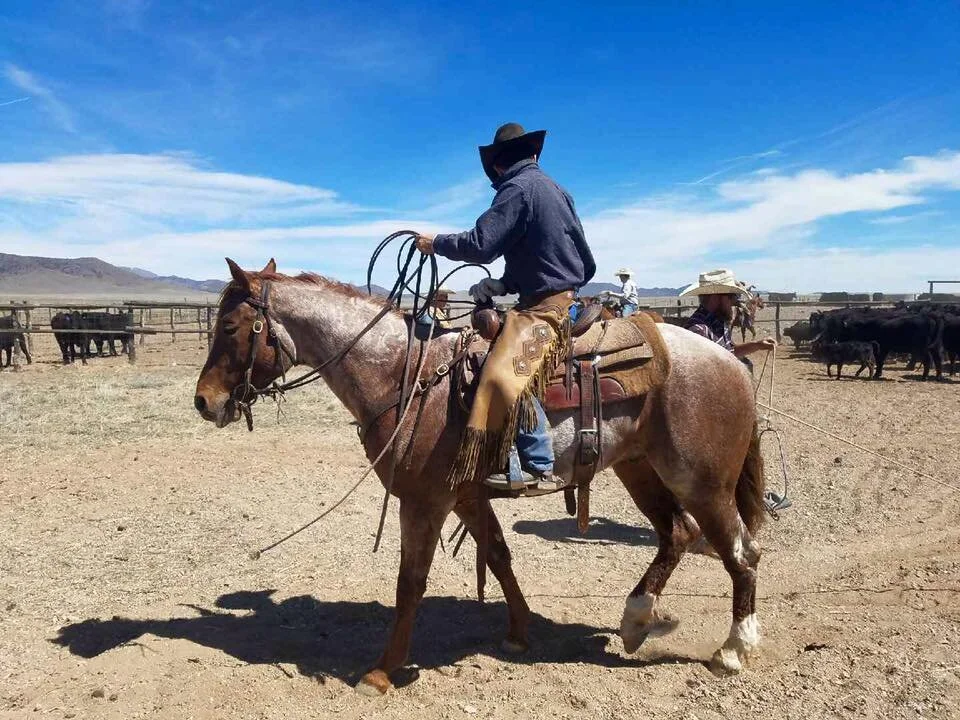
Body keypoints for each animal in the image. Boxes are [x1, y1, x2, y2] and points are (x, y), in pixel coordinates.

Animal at [194, 259, 766, 695]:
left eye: (230, 328)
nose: (204, 402)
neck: (404, 374)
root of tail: (730, 360)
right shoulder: (467, 496)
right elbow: (497, 555)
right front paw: (518, 630)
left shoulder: (424, 502)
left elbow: (411, 582)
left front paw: (382, 671)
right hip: (640, 468)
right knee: (679, 534)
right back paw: (637, 620)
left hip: (702, 481)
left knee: (741, 551)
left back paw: (733, 649)